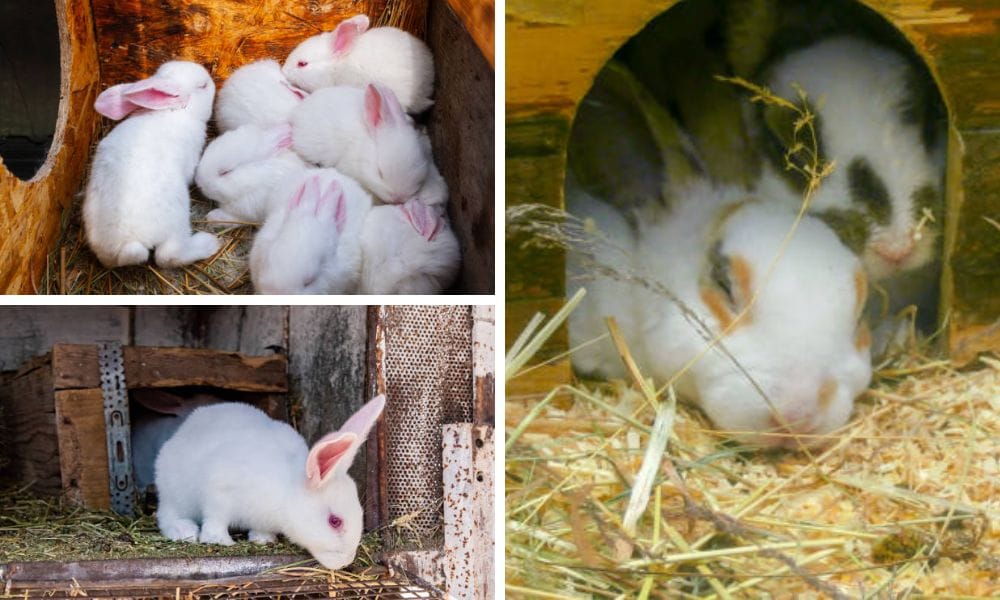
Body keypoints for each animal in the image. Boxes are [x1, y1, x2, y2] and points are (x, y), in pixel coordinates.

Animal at [83, 60, 221, 268]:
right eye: (203, 86)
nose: (211, 80)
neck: (172, 111)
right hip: (177, 221)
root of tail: (130, 242)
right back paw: (209, 243)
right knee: (168, 256)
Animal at [154, 395, 385, 570]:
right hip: (174, 492)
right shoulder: (218, 490)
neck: (285, 493)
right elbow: (216, 518)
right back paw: (183, 531)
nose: (346, 561)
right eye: (335, 521)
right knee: (166, 516)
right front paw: (219, 540)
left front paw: (263, 539)